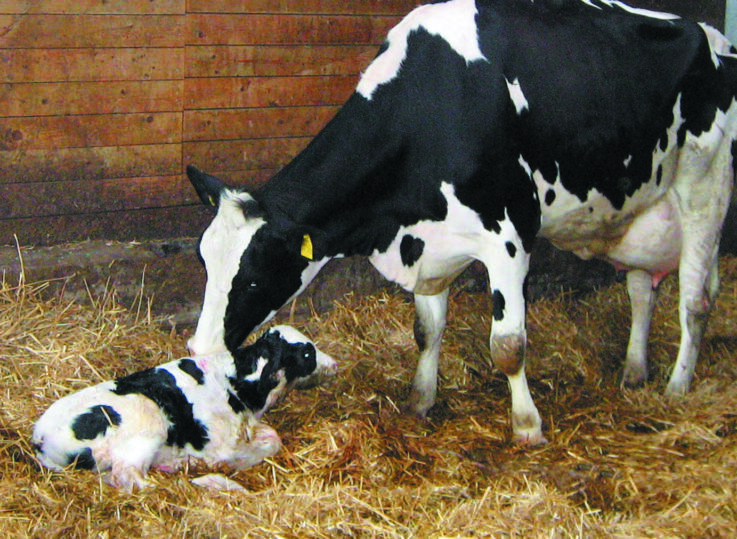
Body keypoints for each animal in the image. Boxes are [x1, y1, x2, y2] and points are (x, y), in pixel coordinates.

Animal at [32, 326, 337, 490]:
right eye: (307, 353)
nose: (334, 363)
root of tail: (40, 440)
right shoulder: (220, 442)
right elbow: (266, 444)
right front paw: (232, 464)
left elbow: (271, 435)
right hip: (147, 421)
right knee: (129, 478)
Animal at [184, 0, 737, 446]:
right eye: (204, 263)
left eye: (253, 278)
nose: (201, 350)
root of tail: (713, 34)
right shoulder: (428, 241)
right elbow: (426, 331)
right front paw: (420, 400)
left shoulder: (510, 234)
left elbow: (508, 346)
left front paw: (527, 427)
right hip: (643, 209)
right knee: (643, 289)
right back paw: (634, 372)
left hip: (705, 188)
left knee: (695, 300)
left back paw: (677, 386)